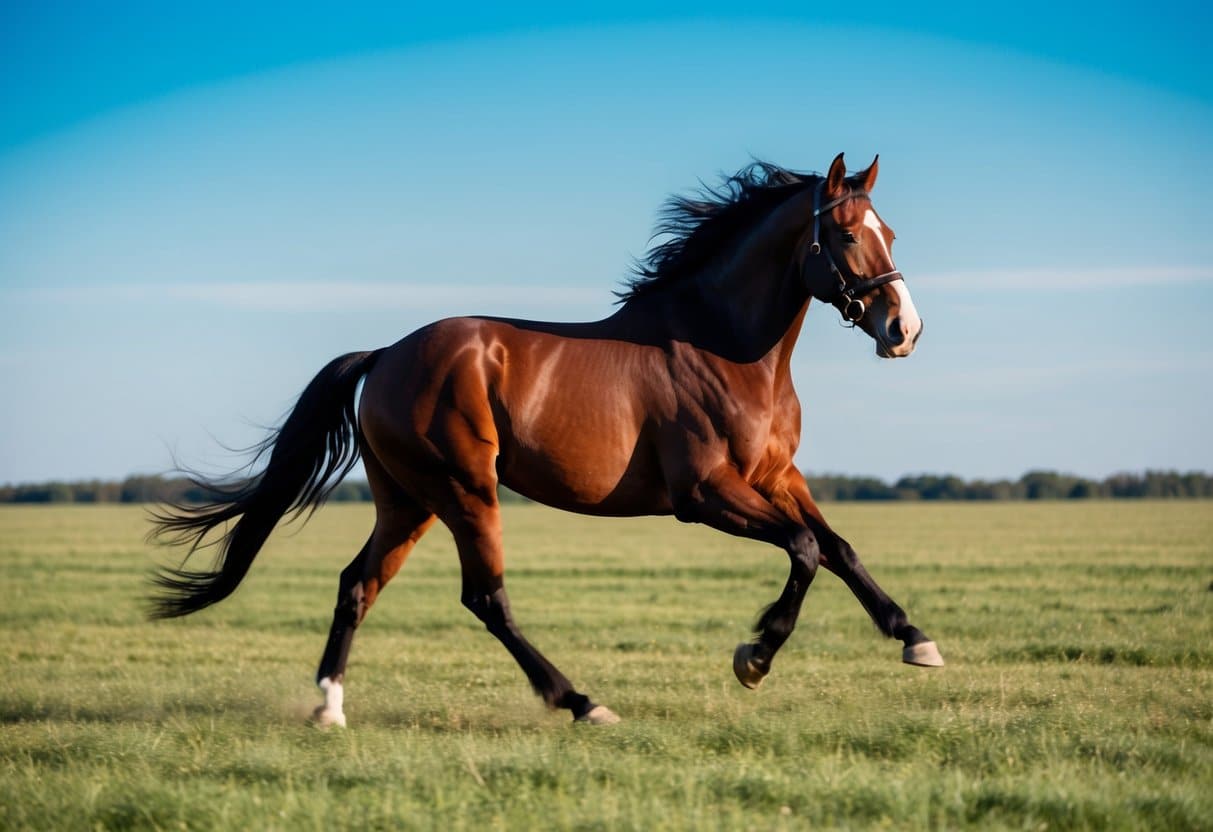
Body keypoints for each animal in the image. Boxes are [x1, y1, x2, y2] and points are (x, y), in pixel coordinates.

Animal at [150, 152, 942, 728]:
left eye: (892, 234)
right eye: (846, 234)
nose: (903, 330)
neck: (722, 346)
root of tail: (385, 355)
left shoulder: (779, 477)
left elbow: (838, 547)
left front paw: (914, 638)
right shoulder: (706, 495)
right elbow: (804, 550)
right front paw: (754, 655)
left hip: (408, 501)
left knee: (359, 584)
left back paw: (329, 709)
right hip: (465, 490)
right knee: (485, 598)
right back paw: (582, 703)